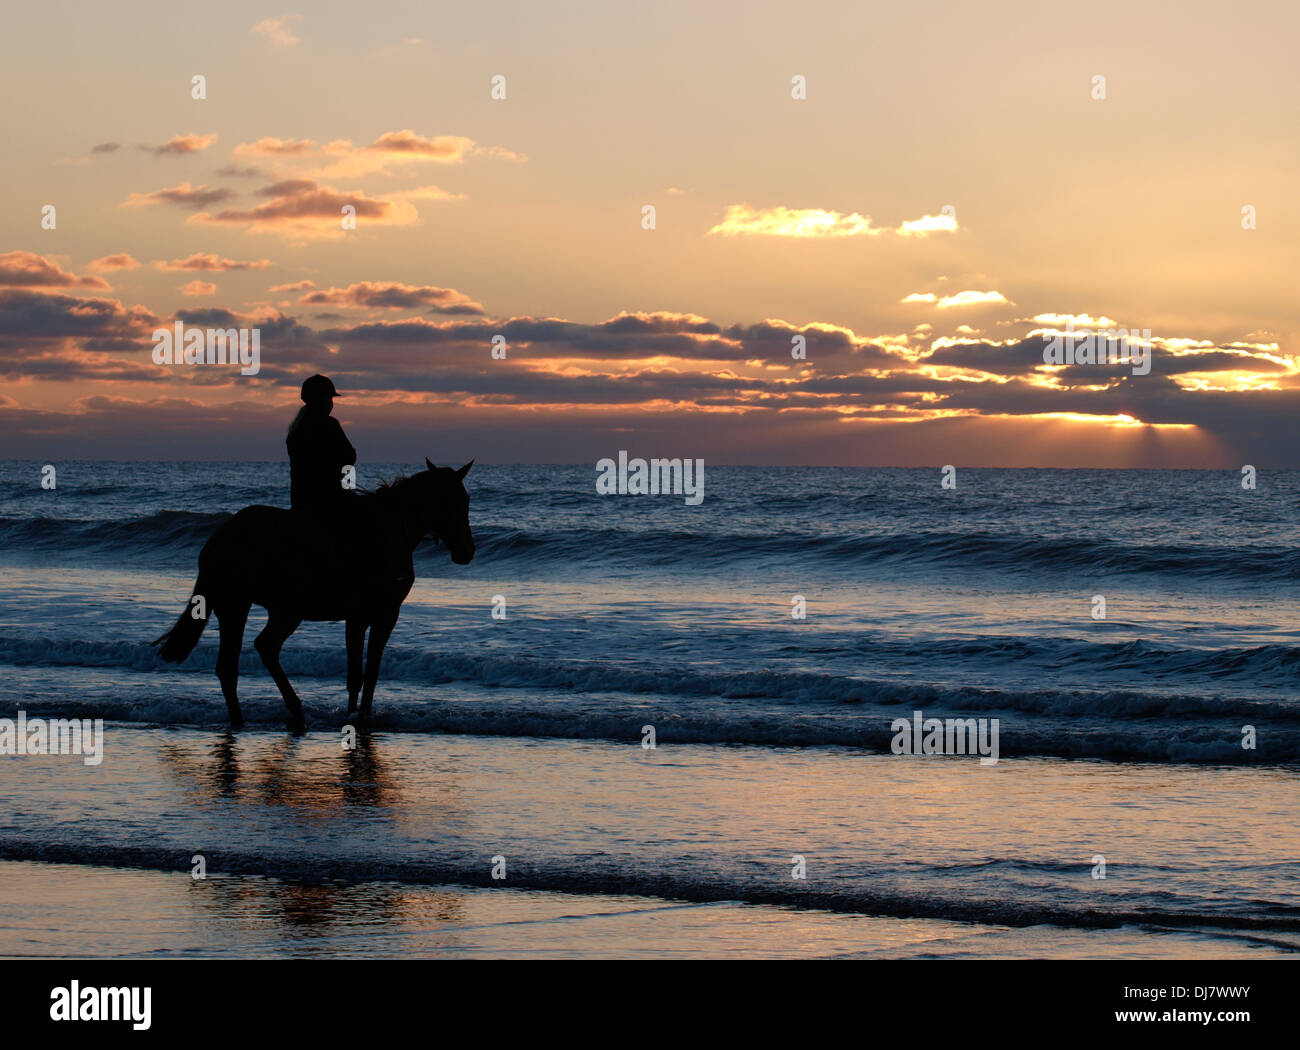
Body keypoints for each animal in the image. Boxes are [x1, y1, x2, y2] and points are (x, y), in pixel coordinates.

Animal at [152, 458, 474, 729]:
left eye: (466, 500)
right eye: (452, 501)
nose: (466, 552)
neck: (386, 534)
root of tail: (217, 540)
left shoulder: (374, 617)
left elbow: (365, 674)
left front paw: (358, 716)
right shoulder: (371, 616)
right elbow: (362, 673)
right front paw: (357, 719)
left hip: (277, 611)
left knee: (258, 651)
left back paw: (291, 710)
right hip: (239, 607)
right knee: (233, 666)